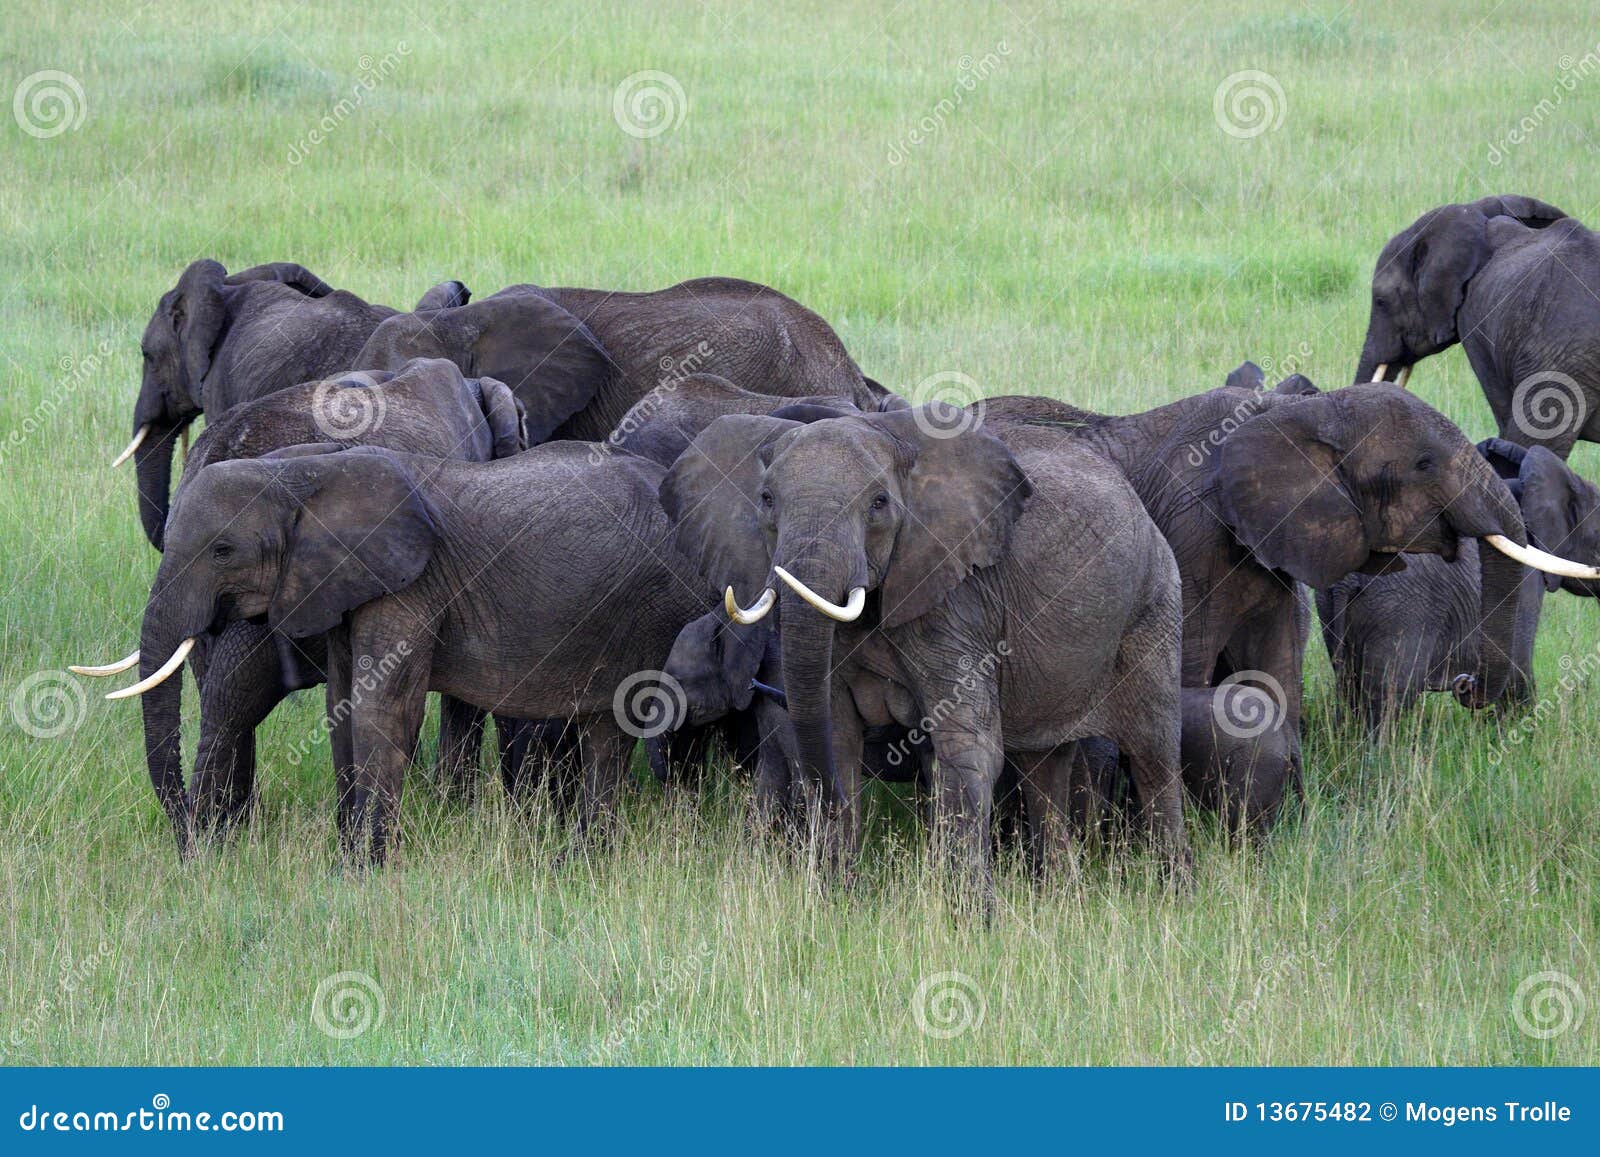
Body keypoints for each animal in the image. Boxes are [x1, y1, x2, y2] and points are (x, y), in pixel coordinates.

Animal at [101, 440, 710, 864]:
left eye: (223, 550)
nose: (190, 852)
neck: (303, 473)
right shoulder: (343, 587)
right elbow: (342, 705)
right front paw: (347, 859)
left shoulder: (411, 585)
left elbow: (383, 708)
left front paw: (363, 871)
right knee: (607, 730)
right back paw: (579, 861)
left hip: (658, 604)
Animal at [661, 407, 1190, 904]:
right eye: (767, 499)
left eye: (878, 503)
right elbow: (836, 734)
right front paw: (836, 902)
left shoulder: (959, 601)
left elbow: (966, 748)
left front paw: (973, 919)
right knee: (1044, 767)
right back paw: (1062, 897)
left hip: (1153, 606)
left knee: (1153, 754)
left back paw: (1173, 895)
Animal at [1316, 439, 1600, 730]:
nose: (1463, 682)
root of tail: (1349, 579)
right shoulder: (1526, 585)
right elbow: (1517, 674)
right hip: (1401, 611)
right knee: (1390, 698)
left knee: (1349, 685)